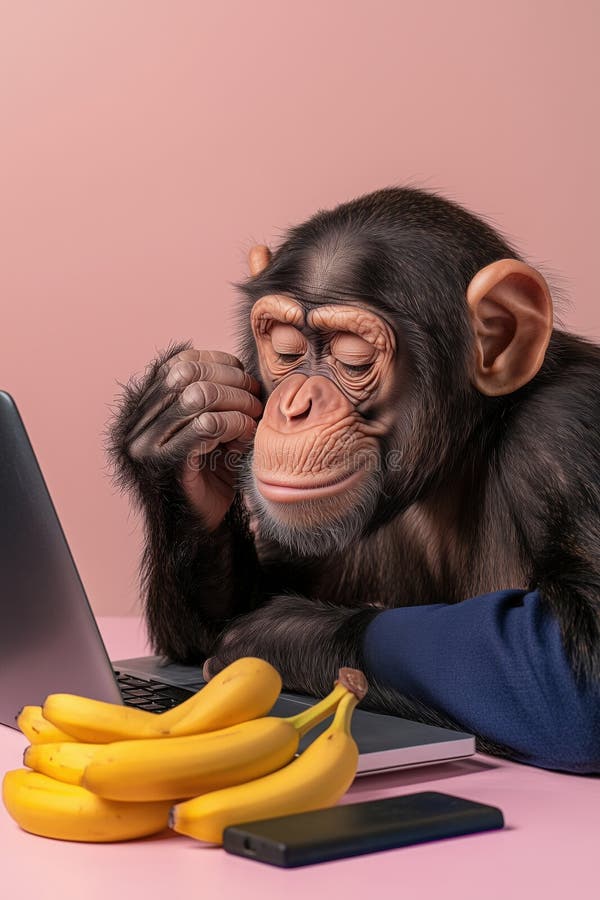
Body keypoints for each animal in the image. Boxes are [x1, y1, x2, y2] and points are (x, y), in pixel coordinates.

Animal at [107, 186, 600, 773]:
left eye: (353, 357)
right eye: (287, 349)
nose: (294, 405)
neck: (464, 449)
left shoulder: (568, 429)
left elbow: (570, 667)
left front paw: (273, 636)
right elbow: (224, 613)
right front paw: (178, 419)